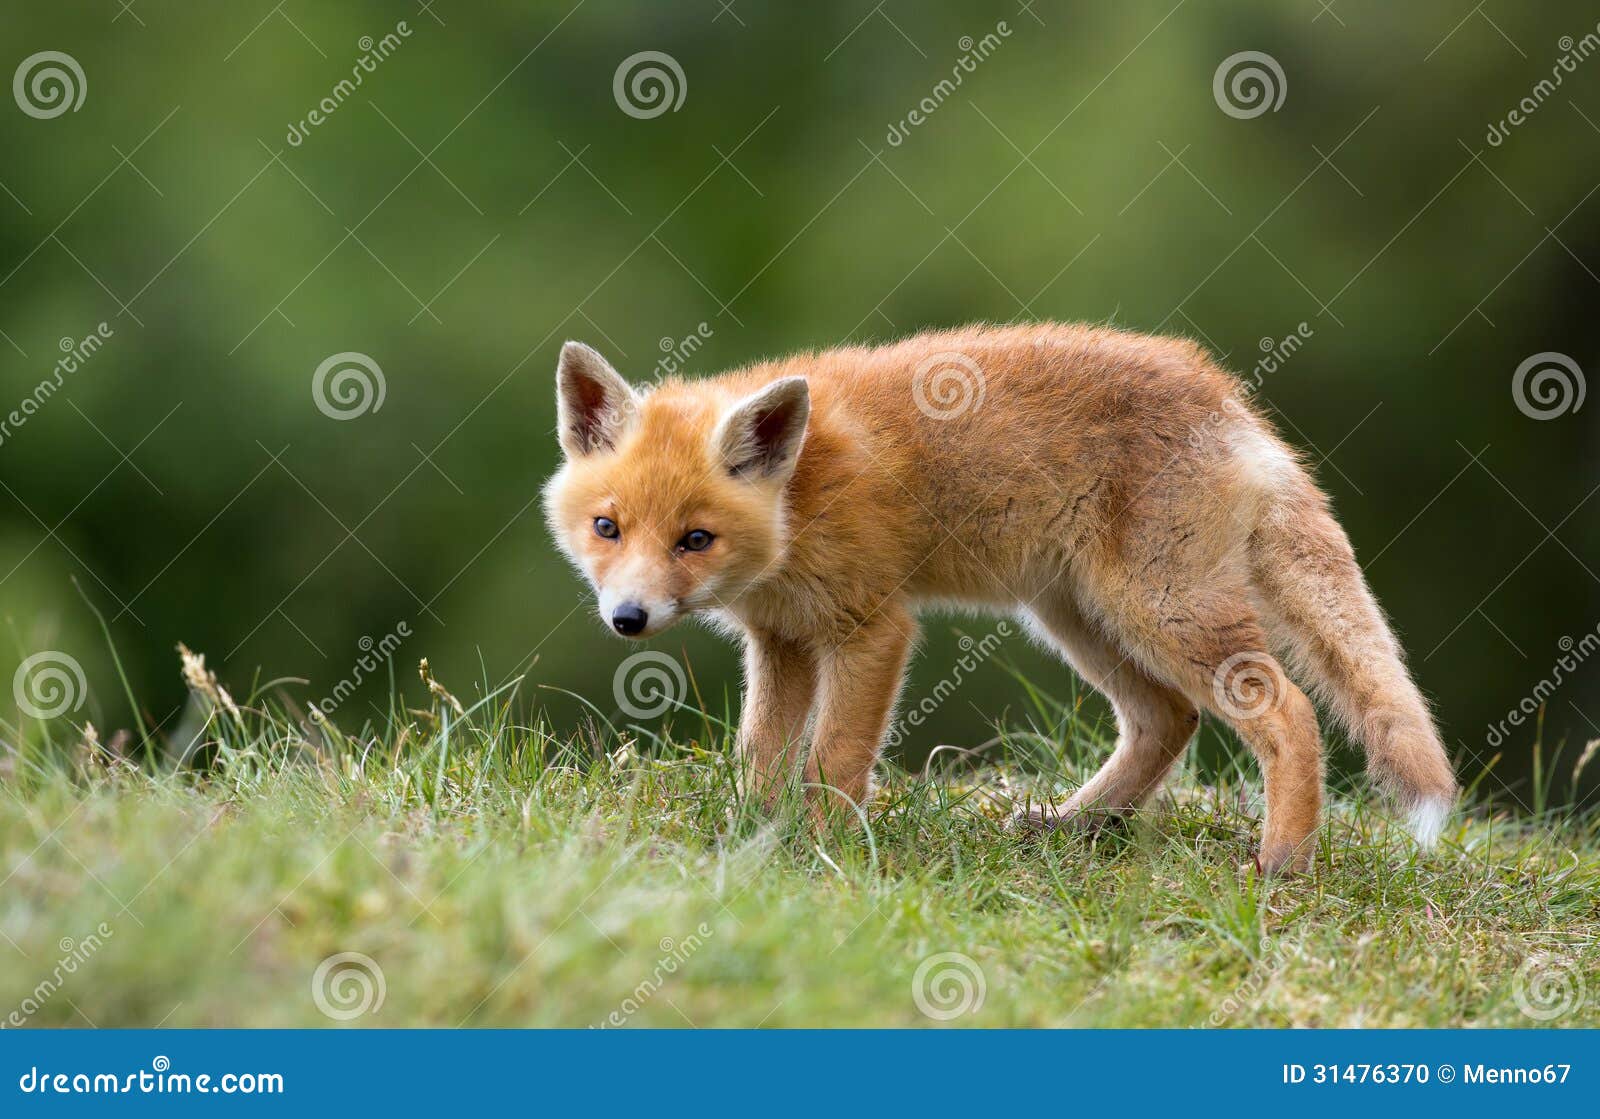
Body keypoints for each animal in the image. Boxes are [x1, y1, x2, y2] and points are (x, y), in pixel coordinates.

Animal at [542, 323, 1458, 873]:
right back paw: (1074, 825)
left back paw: (1282, 865)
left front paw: (826, 851)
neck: (799, 499)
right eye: (607, 527)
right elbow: (760, 755)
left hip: (1162, 611)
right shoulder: (783, 641)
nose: (628, 619)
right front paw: (757, 838)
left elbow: (834, 760)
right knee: (1167, 719)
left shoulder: (875, 629)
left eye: (694, 539)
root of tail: (1230, 397)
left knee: (1290, 712)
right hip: (1078, 618)